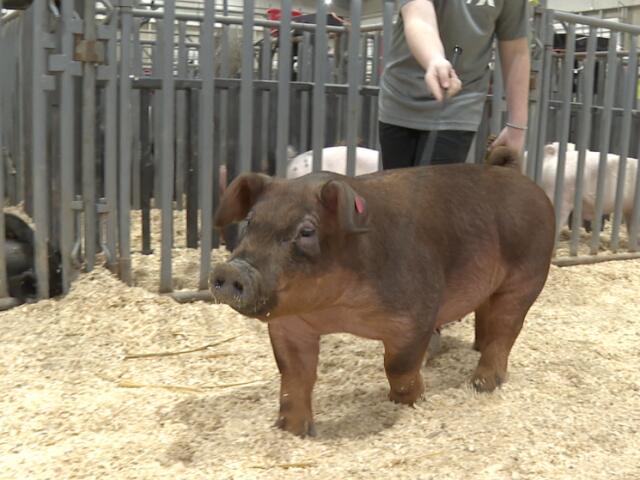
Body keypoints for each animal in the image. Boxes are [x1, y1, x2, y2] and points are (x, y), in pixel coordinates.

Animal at [209, 147, 555, 438]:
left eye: (306, 231)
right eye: (250, 221)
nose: (231, 270)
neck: (337, 309)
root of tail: (518, 175)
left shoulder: (416, 314)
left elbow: (398, 366)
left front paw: (410, 402)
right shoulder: (289, 326)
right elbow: (294, 376)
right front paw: (290, 430)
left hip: (527, 274)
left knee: (505, 329)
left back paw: (481, 384)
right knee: (487, 317)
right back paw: (475, 348)